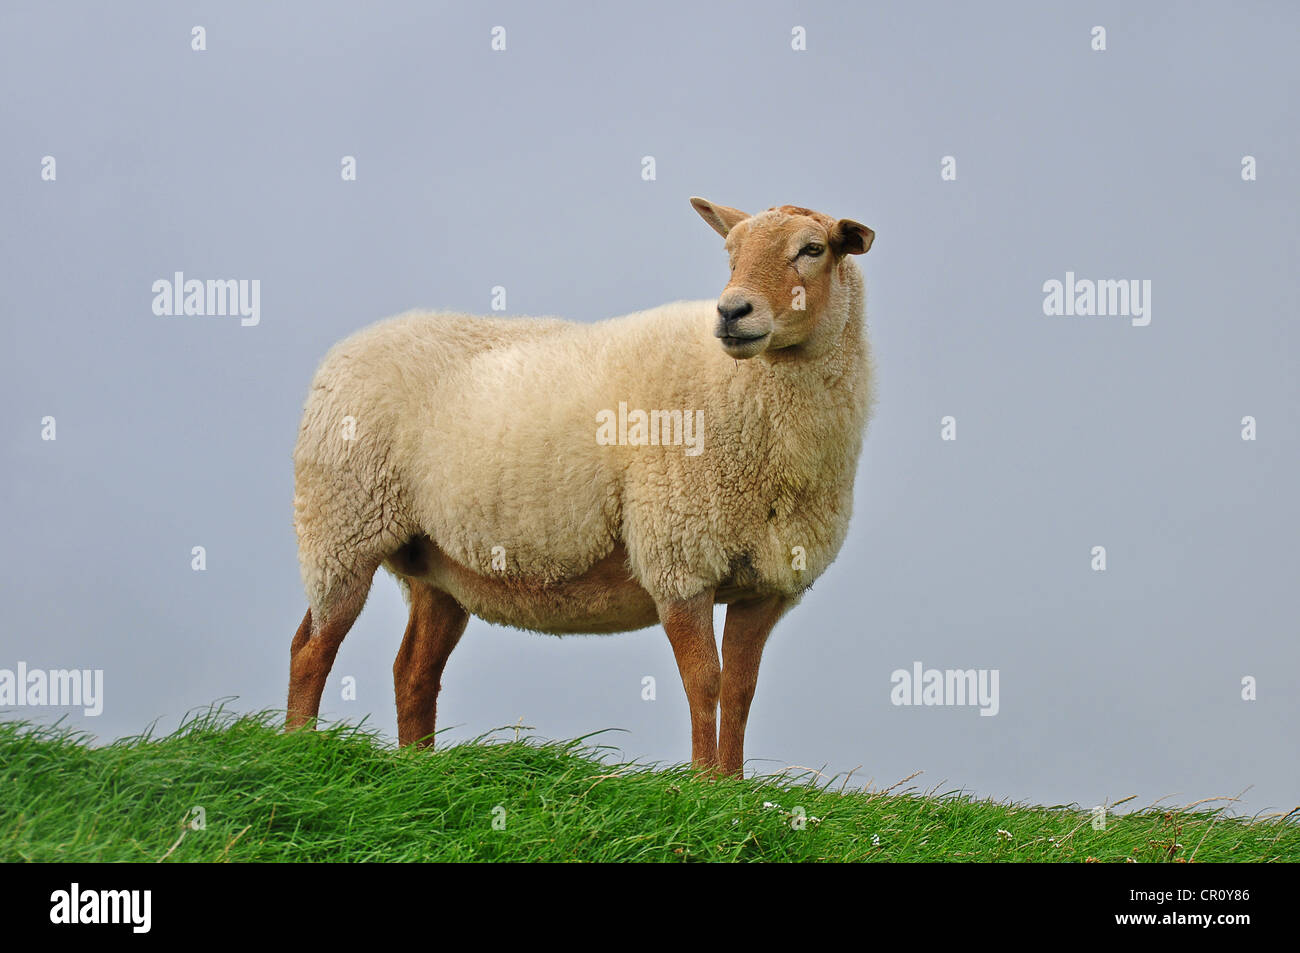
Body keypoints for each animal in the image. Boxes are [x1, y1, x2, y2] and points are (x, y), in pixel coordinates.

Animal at [287, 197, 876, 776]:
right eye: (729, 252)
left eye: (813, 249)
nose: (732, 312)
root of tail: (351, 347)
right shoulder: (677, 556)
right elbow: (704, 681)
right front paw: (702, 784)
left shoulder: (765, 582)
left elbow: (740, 688)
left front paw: (732, 787)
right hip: (343, 526)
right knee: (310, 648)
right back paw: (296, 752)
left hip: (438, 563)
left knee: (413, 671)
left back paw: (419, 770)